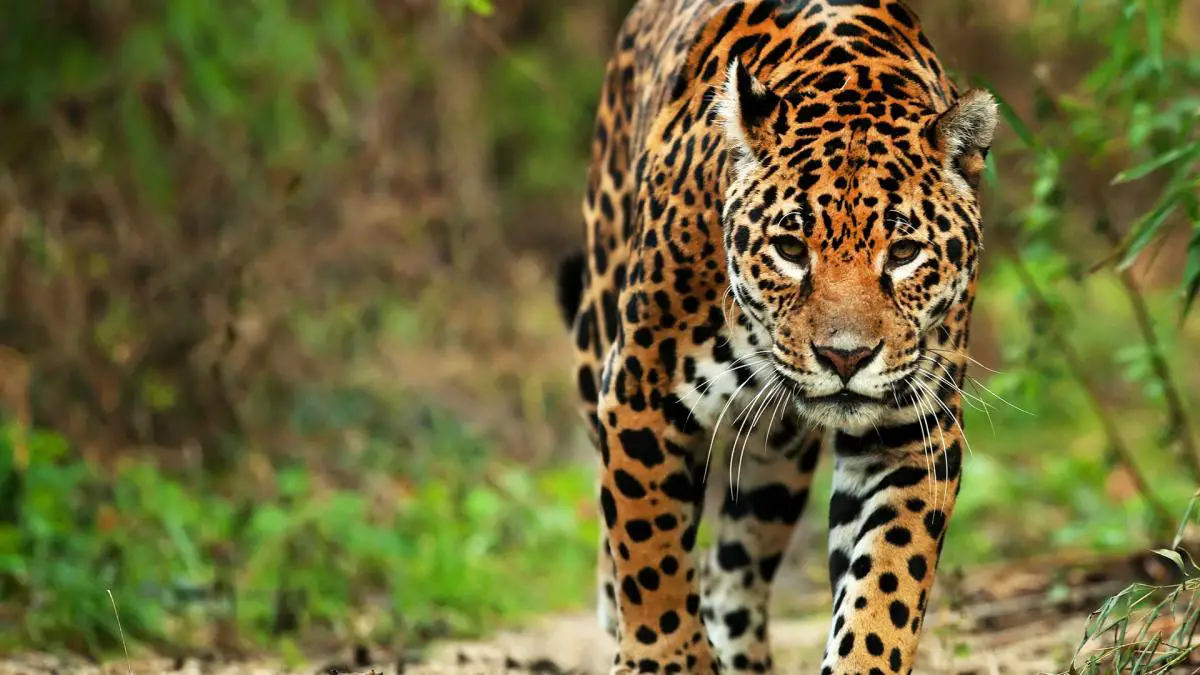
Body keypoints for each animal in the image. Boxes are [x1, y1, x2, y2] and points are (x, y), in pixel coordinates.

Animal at [554, 1, 997, 673]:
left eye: (903, 254)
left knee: (732, 575)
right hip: (594, 339)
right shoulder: (639, 391)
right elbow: (649, 549)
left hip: (775, 460)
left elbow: (886, 585)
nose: (845, 357)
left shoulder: (911, 432)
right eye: (790, 249)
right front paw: (666, 657)